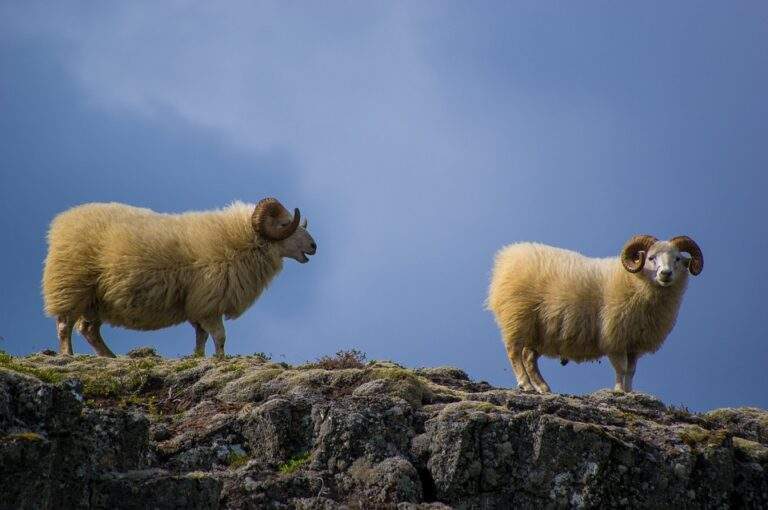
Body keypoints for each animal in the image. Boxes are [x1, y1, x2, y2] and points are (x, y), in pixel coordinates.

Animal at [42, 197, 316, 358]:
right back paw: (67, 355)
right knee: (65, 325)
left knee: (89, 330)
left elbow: (201, 337)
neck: (242, 241)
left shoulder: (197, 306)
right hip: (71, 286)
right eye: (284, 224)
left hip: (96, 300)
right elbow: (220, 337)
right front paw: (220, 360)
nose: (314, 246)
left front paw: (199, 359)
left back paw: (110, 357)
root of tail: (62, 221)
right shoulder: (209, 304)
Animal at [487, 235, 703, 394]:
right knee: (514, 352)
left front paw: (630, 392)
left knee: (529, 358)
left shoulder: (634, 342)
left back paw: (542, 387)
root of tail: (508, 256)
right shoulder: (615, 336)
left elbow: (631, 370)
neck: (635, 280)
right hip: (517, 317)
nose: (665, 274)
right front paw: (619, 391)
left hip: (538, 331)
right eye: (651, 258)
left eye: (677, 259)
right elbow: (621, 368)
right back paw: (526, 384)